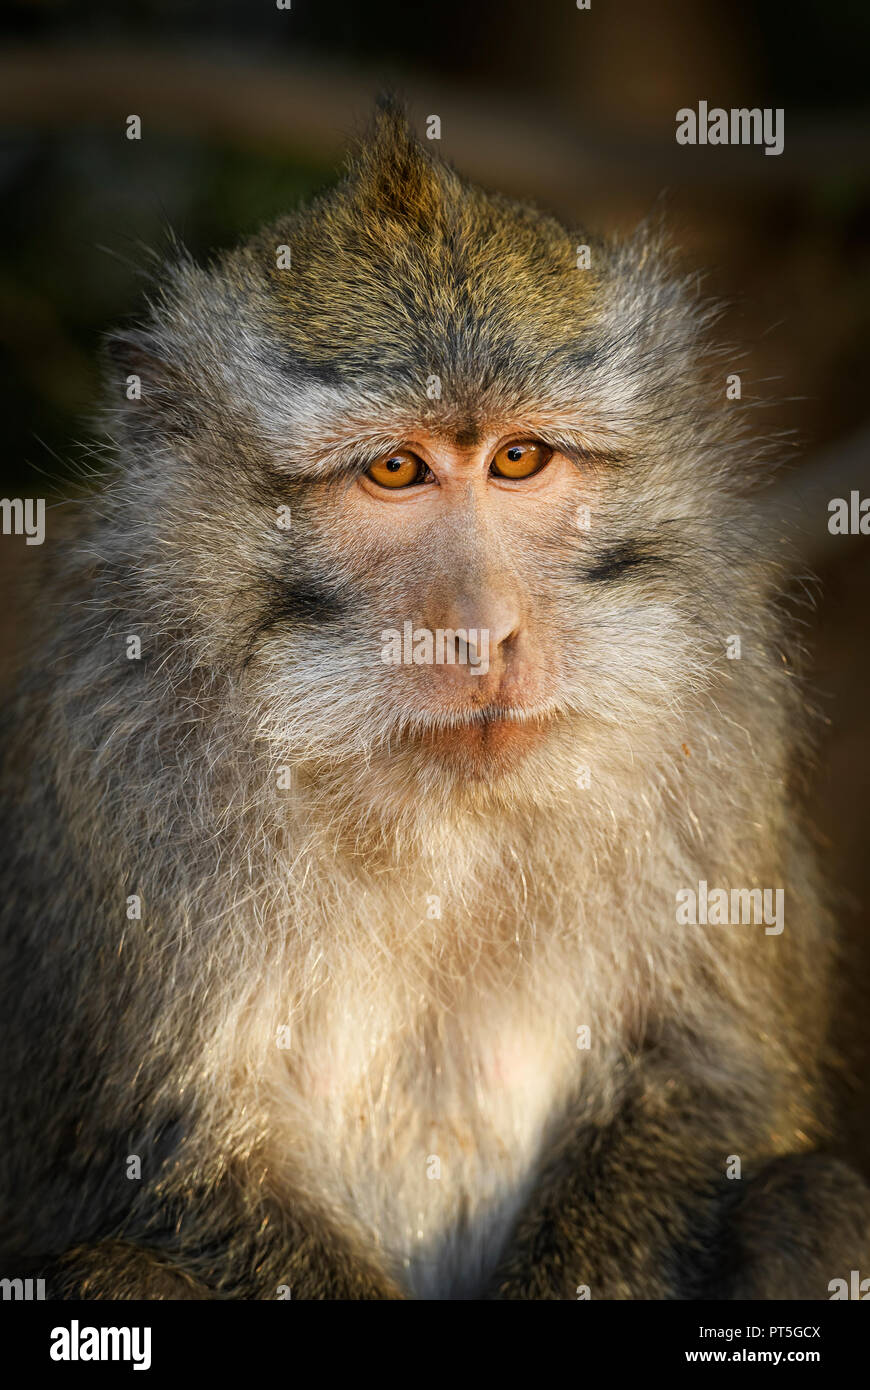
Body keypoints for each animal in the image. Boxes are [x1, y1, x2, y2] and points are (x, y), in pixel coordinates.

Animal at [1, 99, 868, 1302]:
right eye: (395, 472)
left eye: (519, 458)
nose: (486, 631)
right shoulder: (119, 763)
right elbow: (149, 1162)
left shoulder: (721, 724)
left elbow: (712, 1080)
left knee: (815, 1204)